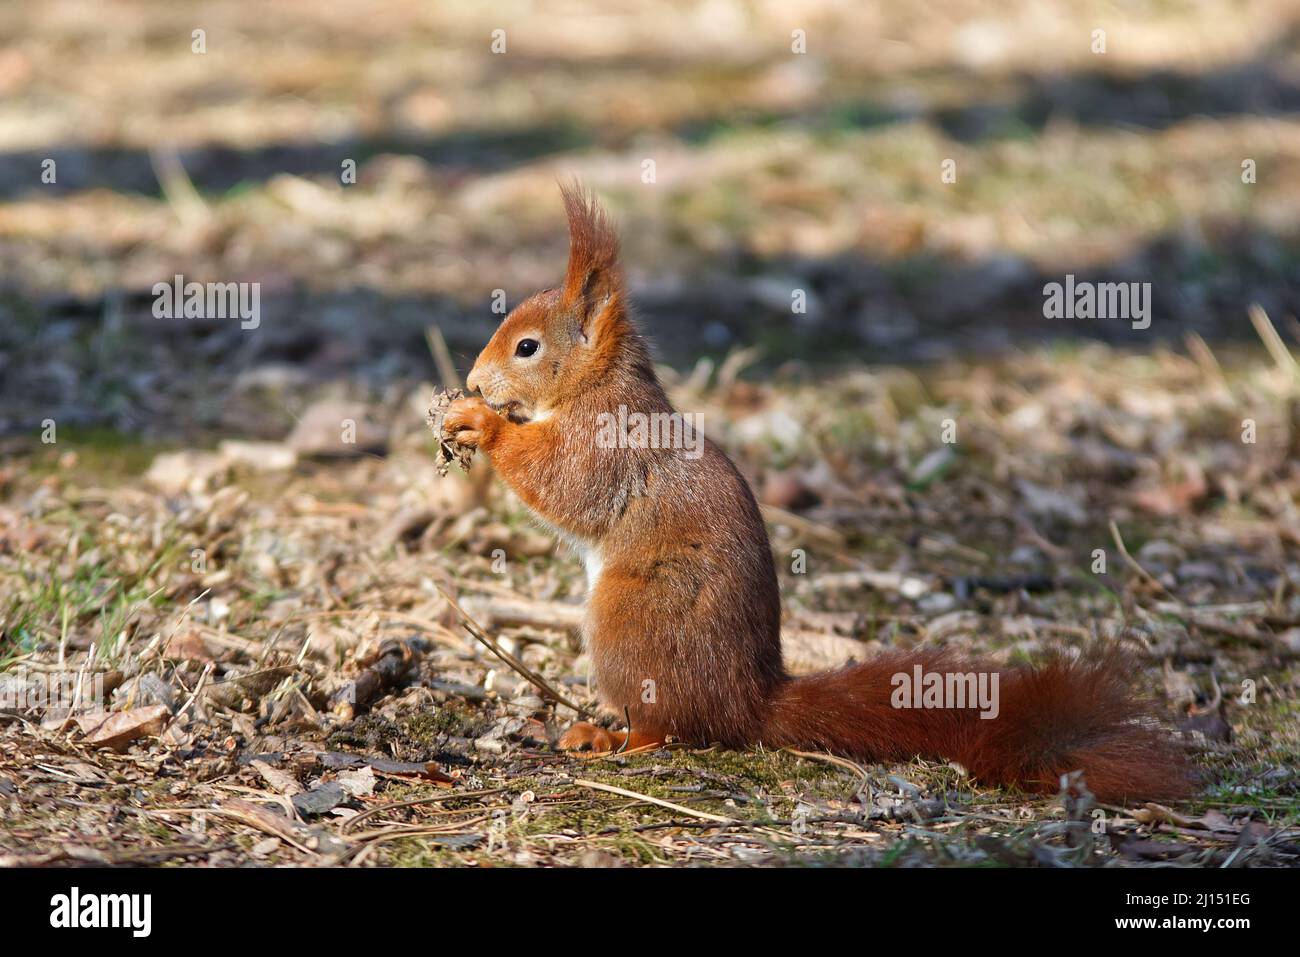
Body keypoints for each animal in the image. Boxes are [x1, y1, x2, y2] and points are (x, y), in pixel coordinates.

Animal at [441, 183, 1195, 803]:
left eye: (528, 347)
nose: (473, 378)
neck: (594, 386)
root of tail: (748, 701)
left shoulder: (604, 445)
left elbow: (562, 484)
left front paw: (479, 422)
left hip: (631, 622)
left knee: (669, 727)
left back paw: (613, 740)